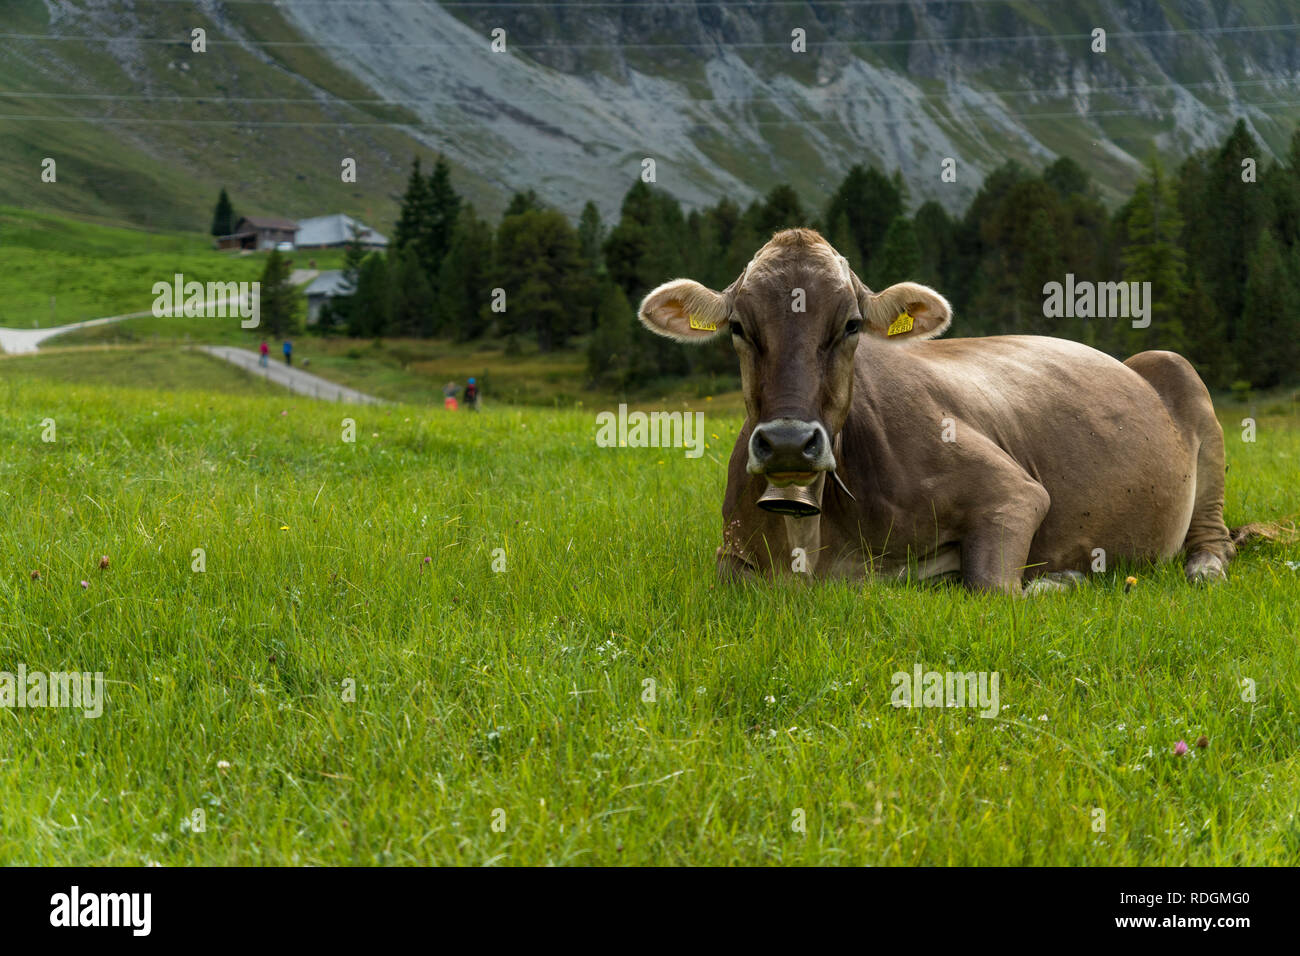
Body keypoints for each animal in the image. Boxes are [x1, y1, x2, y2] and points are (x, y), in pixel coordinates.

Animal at [637, 228, 1238, 594]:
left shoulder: (1013, 493)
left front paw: (1059, 579)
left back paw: (1204, 568)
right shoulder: (731, 551)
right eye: (739, 327)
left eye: (851, 325)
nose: (788, 442)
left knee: (1211, 537)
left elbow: (992, 586)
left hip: (1179, 372)